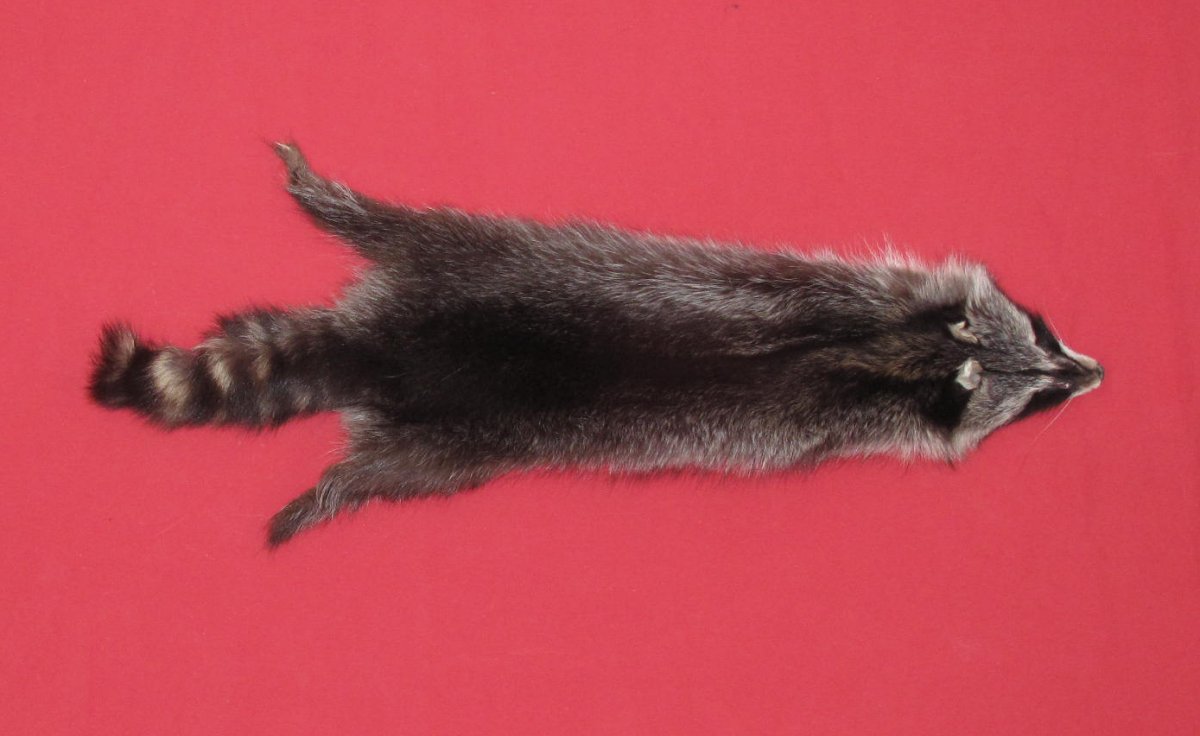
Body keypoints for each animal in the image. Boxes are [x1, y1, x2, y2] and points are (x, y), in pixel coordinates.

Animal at [89, 143, 1104, 546]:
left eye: (1045, 339)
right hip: (457, 372)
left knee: (398, 232)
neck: (903, 350)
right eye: (1046, 387)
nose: (1093, 369)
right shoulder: (833, 306)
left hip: (452, 277)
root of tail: (385, 348)